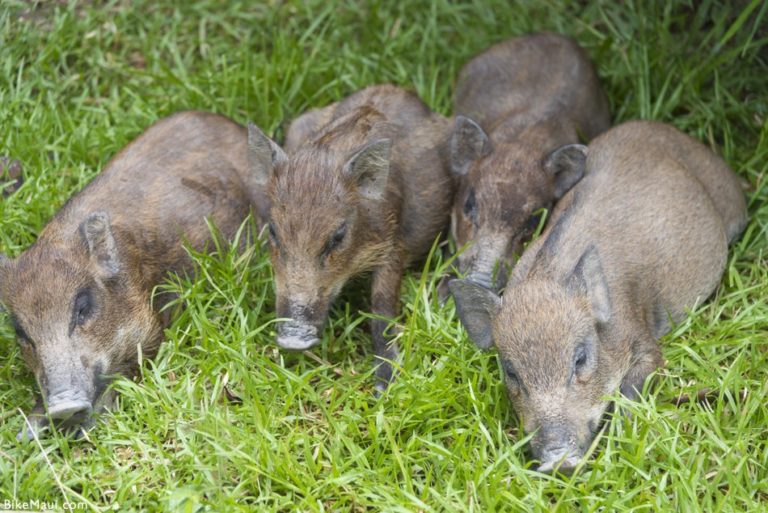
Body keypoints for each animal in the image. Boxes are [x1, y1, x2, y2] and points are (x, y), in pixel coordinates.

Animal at [247, 84, 454, 390]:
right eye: (273, 230)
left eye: (338, 235)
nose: (293, 339)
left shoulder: (392, 246)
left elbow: (381, 308)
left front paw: (385, 387)